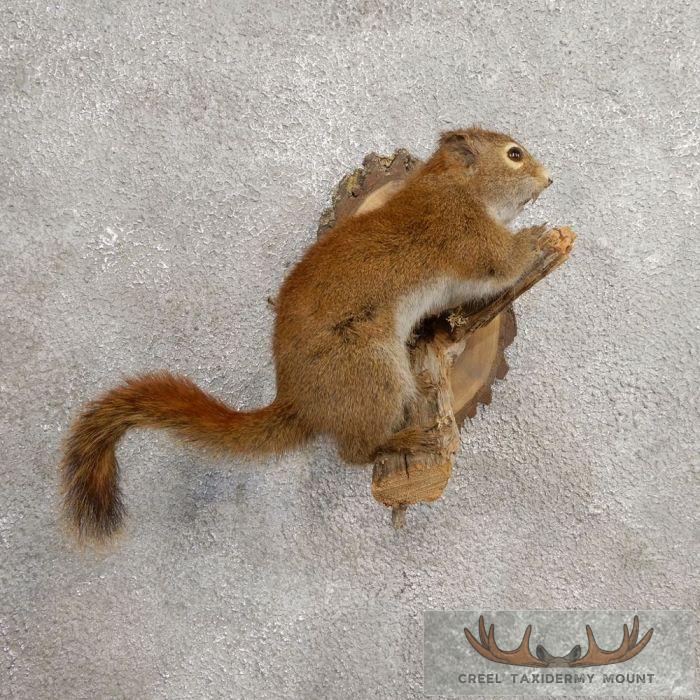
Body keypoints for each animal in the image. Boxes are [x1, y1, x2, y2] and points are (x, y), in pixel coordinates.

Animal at [61, 126, 554, 542]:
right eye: (514, 155)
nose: (549, 178)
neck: (453, 187)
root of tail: (299, 400)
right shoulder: (466, 238)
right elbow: (505, 264)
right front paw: (537, 237)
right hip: (370, 370)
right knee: (354, 452)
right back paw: (402, 440)